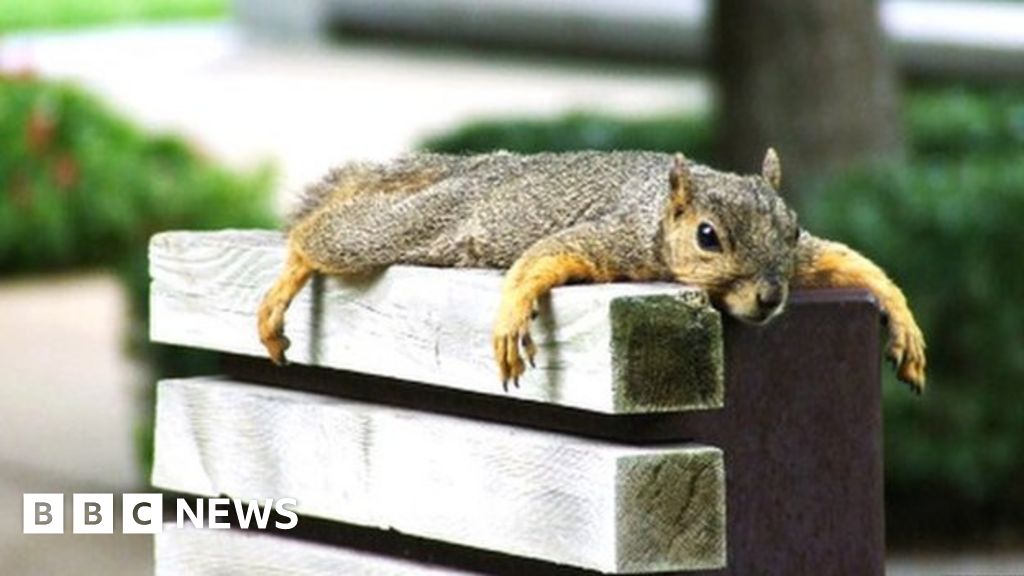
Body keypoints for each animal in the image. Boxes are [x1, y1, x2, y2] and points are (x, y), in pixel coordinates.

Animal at [257, 150, 926, 393]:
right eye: (707, 236)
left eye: (790, 229)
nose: (769, 296)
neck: (658, 216)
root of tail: (470, 170)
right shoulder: (613, 238)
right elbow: (541, 258)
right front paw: (511, 318)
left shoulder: (806, 257)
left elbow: (850, 260)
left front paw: (905, 325)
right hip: (405, 230)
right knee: (320, 237)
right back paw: (285, 281)